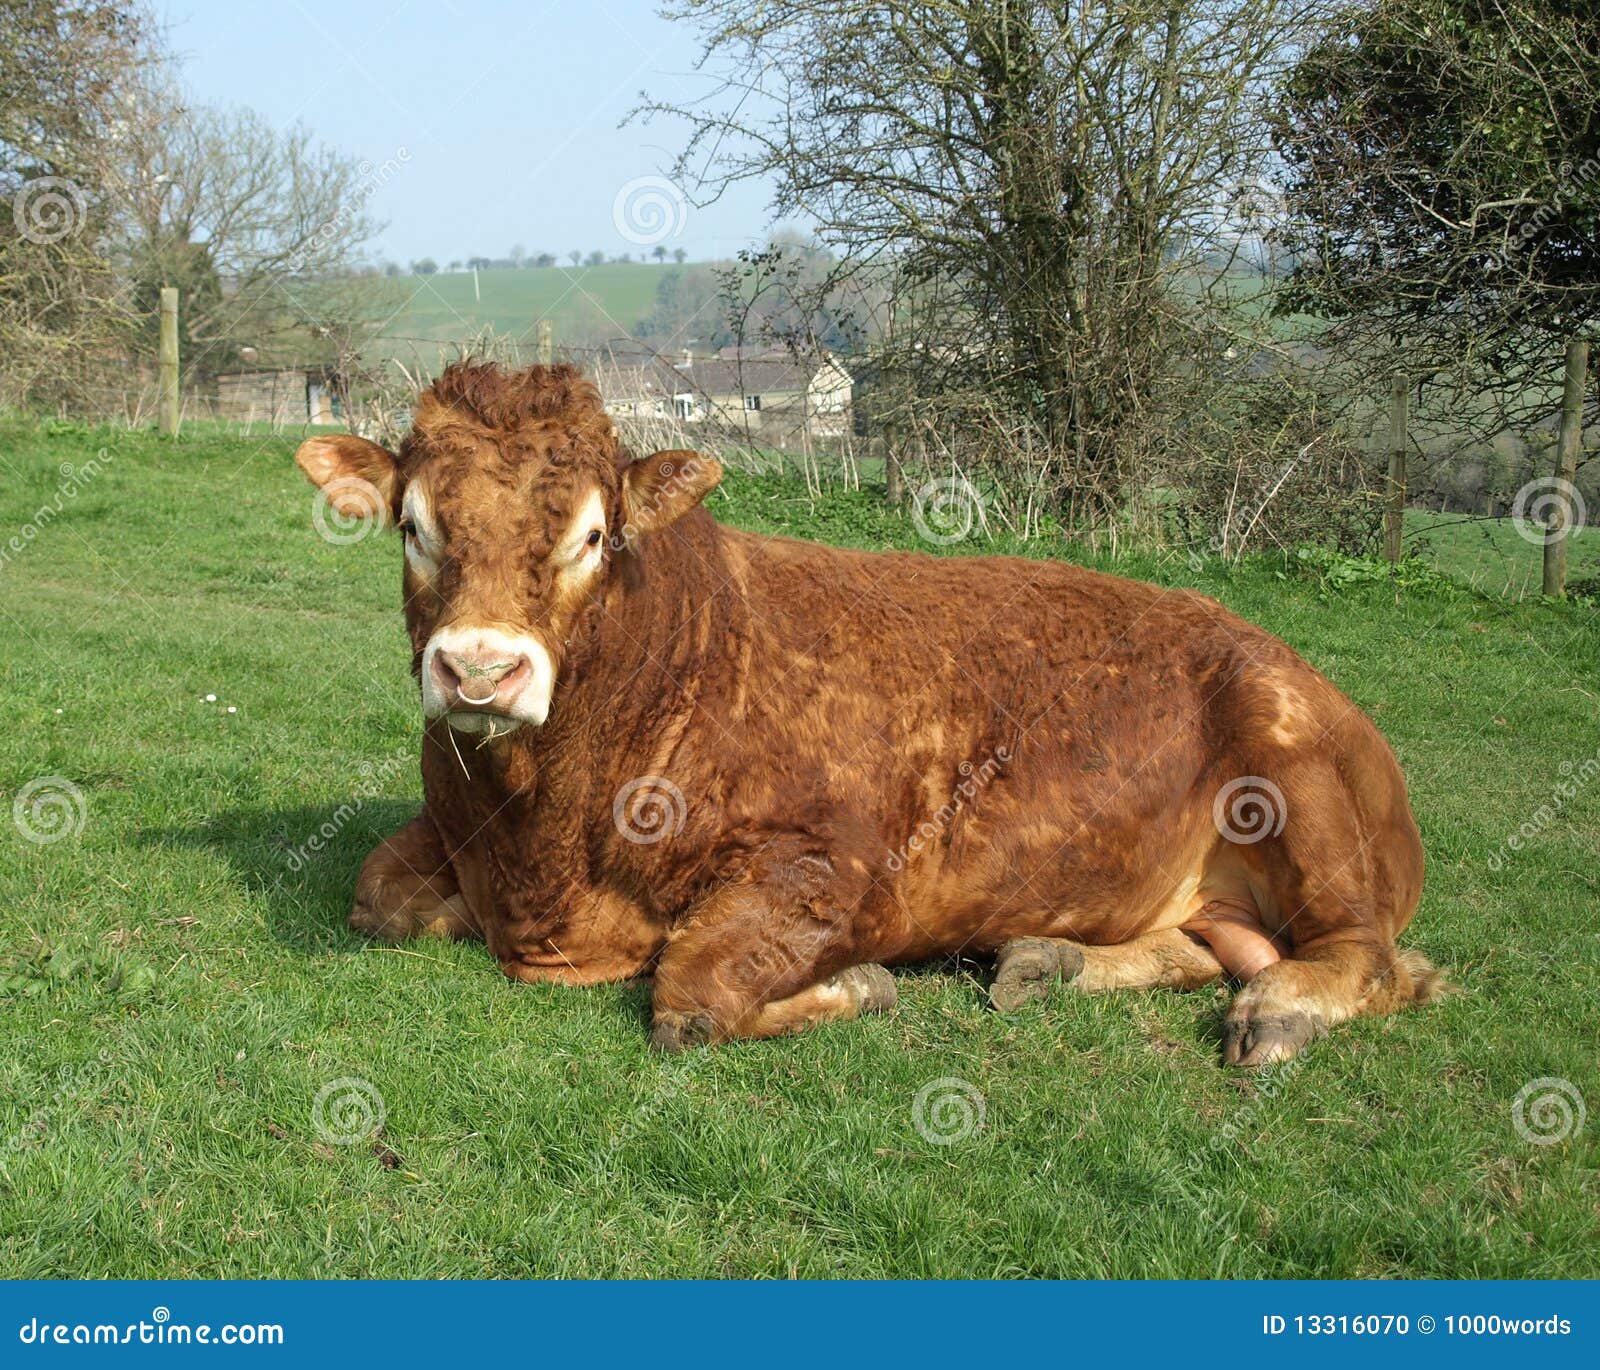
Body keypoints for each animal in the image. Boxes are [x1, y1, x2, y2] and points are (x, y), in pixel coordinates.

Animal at [294, 361, 1440, 1066]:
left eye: (592, 535)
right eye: (412, 526)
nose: (480, 669)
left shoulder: (833, 862)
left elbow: (690, 992)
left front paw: (858, 986)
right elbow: (377, 897)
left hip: (1293, 764)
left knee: (1374, 959)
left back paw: (1279, 1006)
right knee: (1214, 944)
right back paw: (1051, 960)